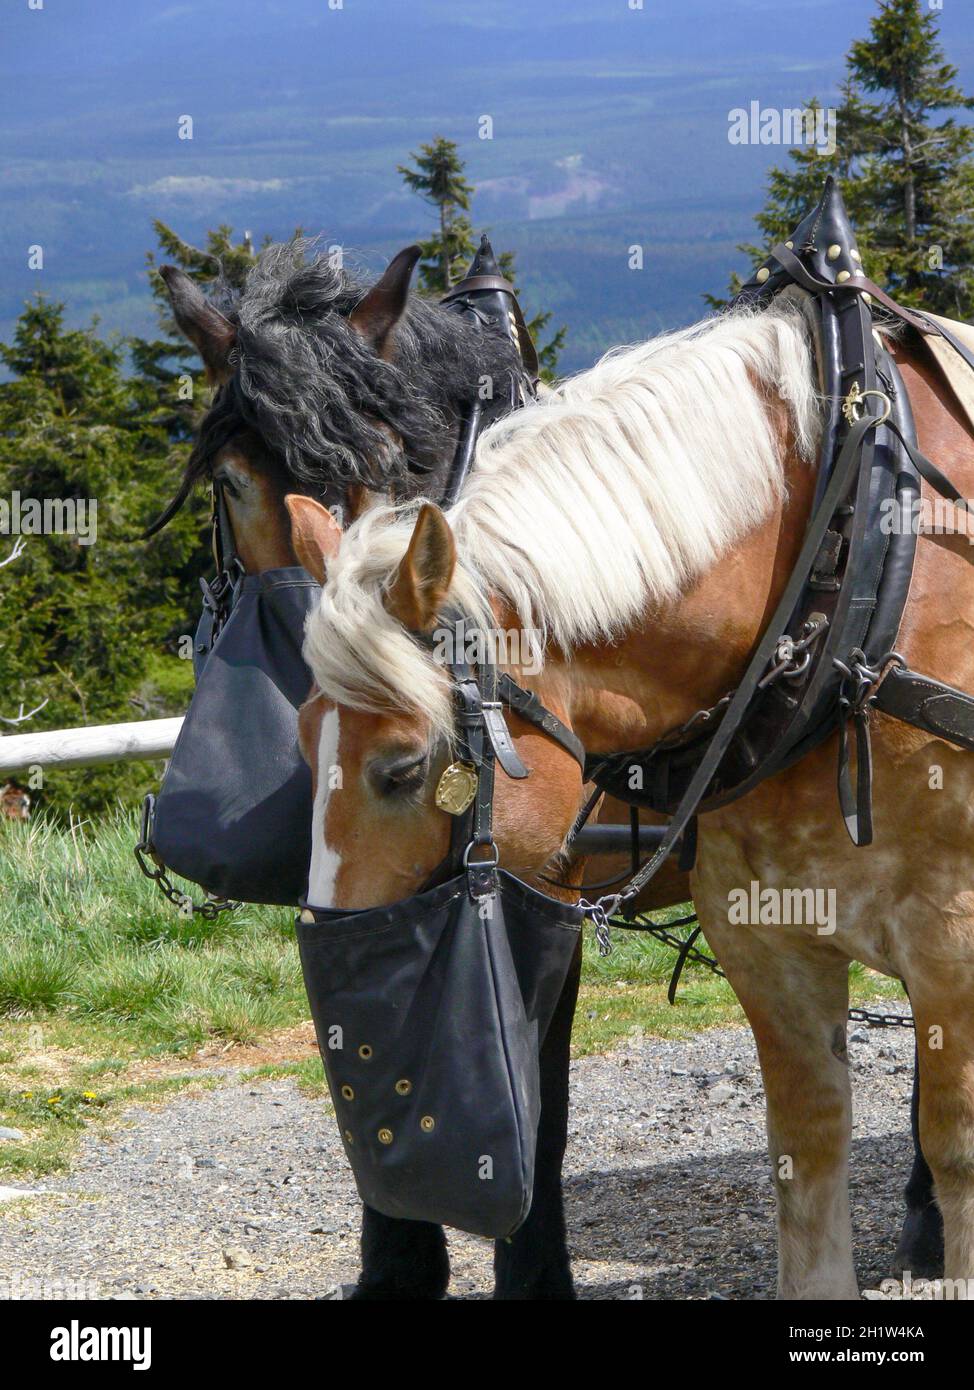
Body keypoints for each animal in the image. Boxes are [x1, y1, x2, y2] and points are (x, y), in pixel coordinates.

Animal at [286, 295, 973, 1298]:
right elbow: (806, 1148)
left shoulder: (954, 935)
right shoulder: (764, 932)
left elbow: (958, 1149)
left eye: (403, 770)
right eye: (305, 741)